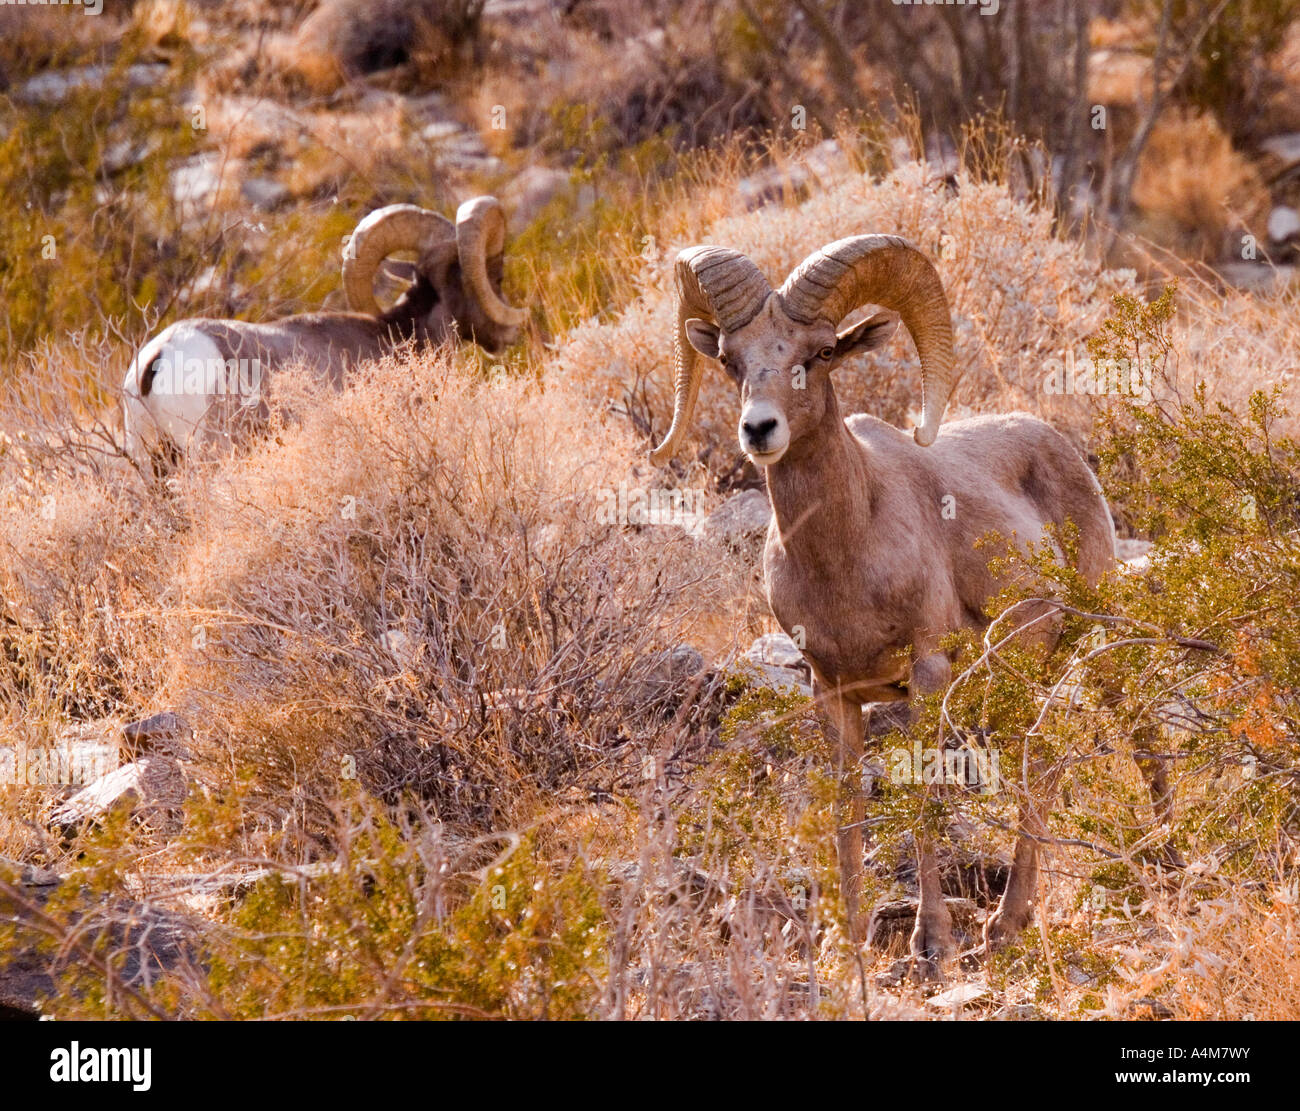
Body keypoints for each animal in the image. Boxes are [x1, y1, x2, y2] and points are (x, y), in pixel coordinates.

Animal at [648, 235, 1121, 975]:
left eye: (817, 353)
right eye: (729, 358)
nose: (759, 429)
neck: (847, 550)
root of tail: (1060, 446)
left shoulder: (926, 673)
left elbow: (922, 799)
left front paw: (933, 945)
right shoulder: (833, 689)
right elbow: (848, 808)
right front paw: (845, 943)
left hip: (1093, 641)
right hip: (1016, 682)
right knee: (1038, 766)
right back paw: (1008, 925)